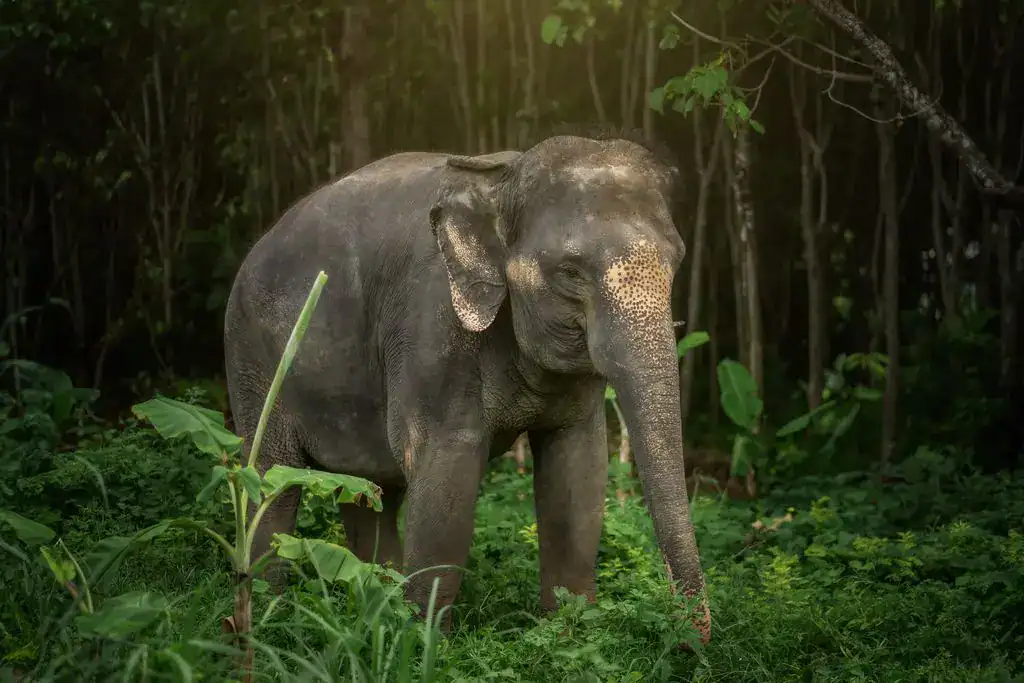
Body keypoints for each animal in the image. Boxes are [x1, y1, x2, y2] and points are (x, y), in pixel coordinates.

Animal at [223, 131, 710, 642]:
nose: (691, 642)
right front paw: (424, 643)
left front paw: (568, 633)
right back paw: (270, 619)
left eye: (676, 260)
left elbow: (577, 468)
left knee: (367, 493)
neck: (502, 180)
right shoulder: (431, 327)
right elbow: (447, 471)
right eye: (570, 272)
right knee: (272, 481)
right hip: (251, 357)